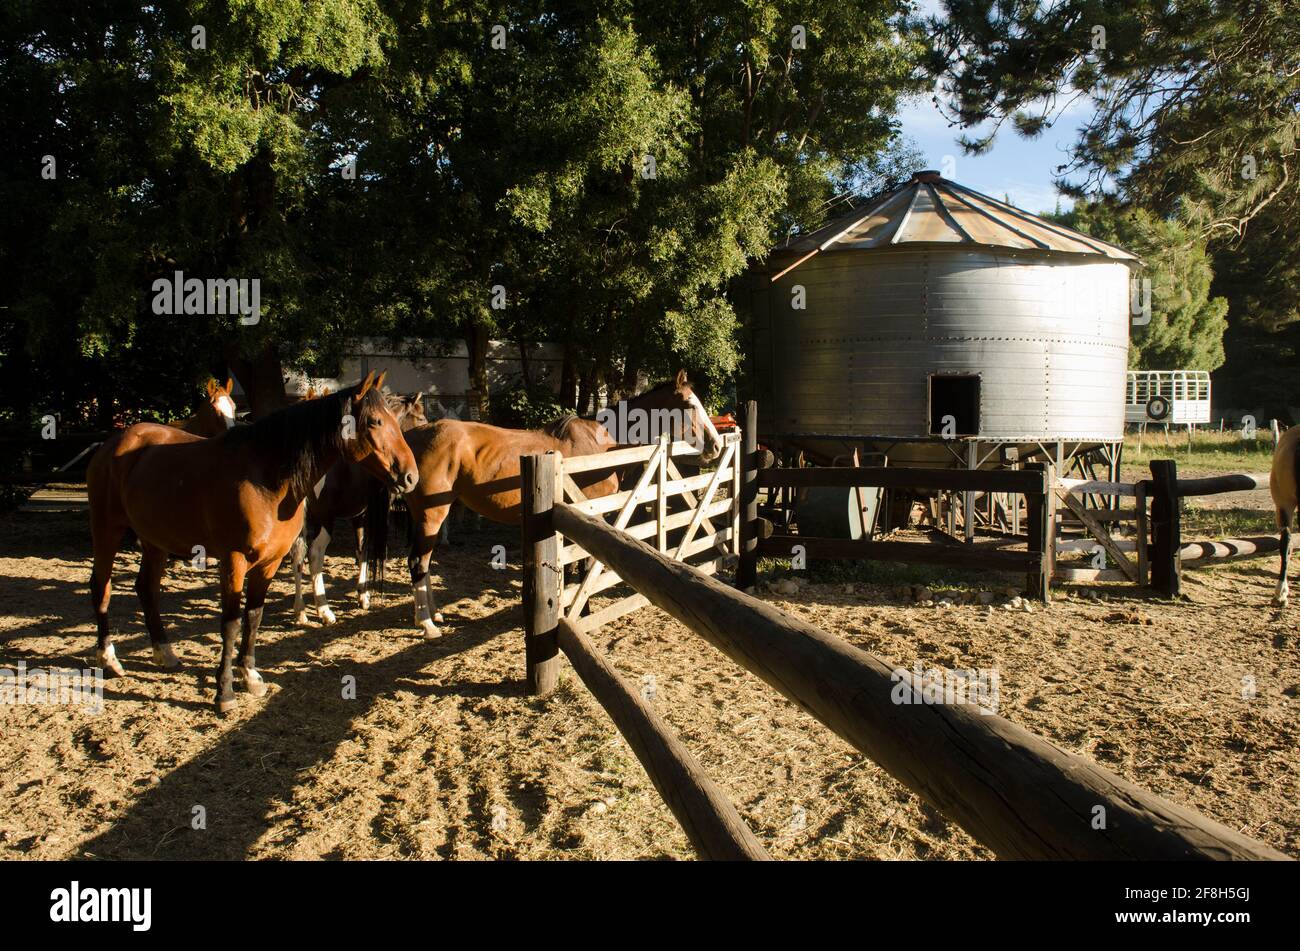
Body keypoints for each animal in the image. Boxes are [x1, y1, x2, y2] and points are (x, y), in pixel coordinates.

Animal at [291, 391, 428, 626]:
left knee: (297, 555)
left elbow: (361, 549)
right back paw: (324, 610)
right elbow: (366, 550)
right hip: (324, 520)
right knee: (315, 554)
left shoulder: (359, 514)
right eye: (420, 418)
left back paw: (300, 610)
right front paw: (364, 595)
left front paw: (362, 593)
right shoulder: (371, 514)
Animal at [369, 370, 724, 637]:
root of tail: (412, 439)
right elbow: (583, 564)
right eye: (689, 404)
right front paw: (584, 609)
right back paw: (427, 624)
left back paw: (433, 615)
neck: (602, 446)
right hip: (431, 514)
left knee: (424, 563)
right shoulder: (588, 512)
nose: (716, 445)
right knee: (417, 562)